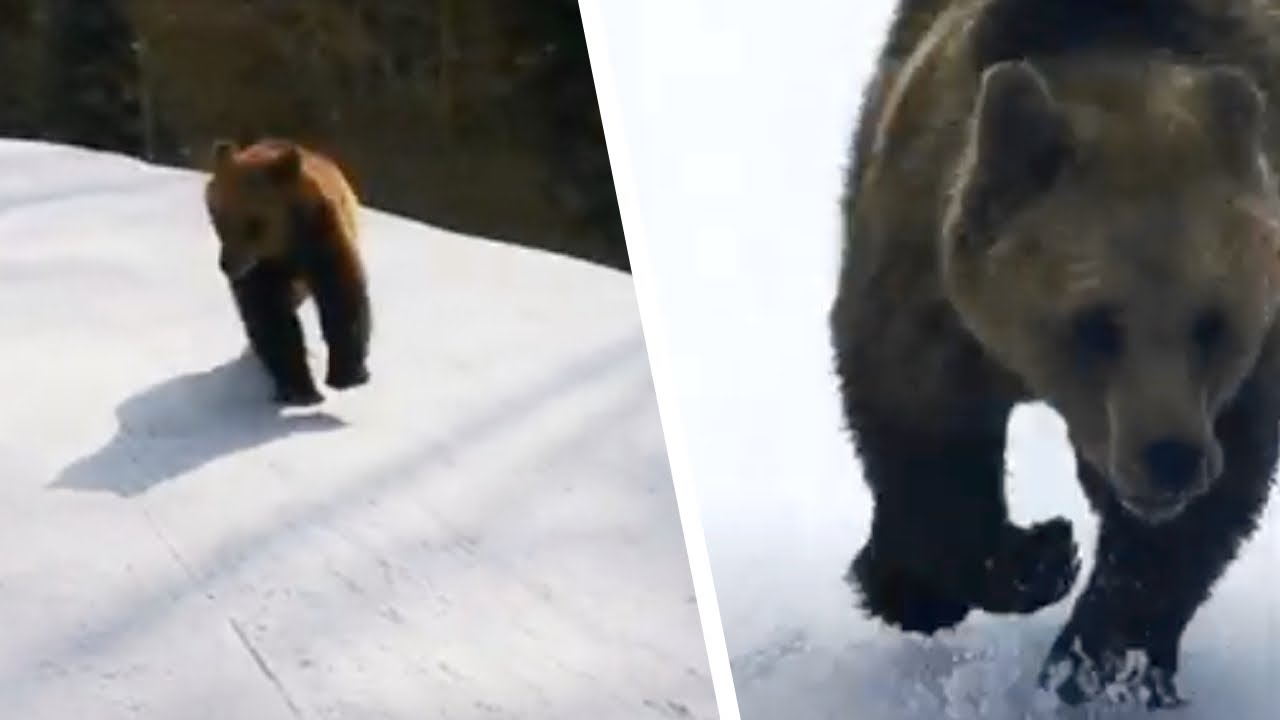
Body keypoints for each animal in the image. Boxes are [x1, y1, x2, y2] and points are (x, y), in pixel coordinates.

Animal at [204, 137, 372, 407]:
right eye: (219, 219)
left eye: (254, 223)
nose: (228, 265)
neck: (283, 244)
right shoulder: (262, 271)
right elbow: (269, 318)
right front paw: (299, 389)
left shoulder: (321, 239)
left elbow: (341, 297)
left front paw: (347, 375)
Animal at [830, 0, 1280, 708]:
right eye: (1094, 323)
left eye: (1213, 322)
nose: (1171, 458)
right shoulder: (924, 276)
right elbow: (922, 435)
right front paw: (1037, 556)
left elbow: (1202, 514)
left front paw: (1102, 665)